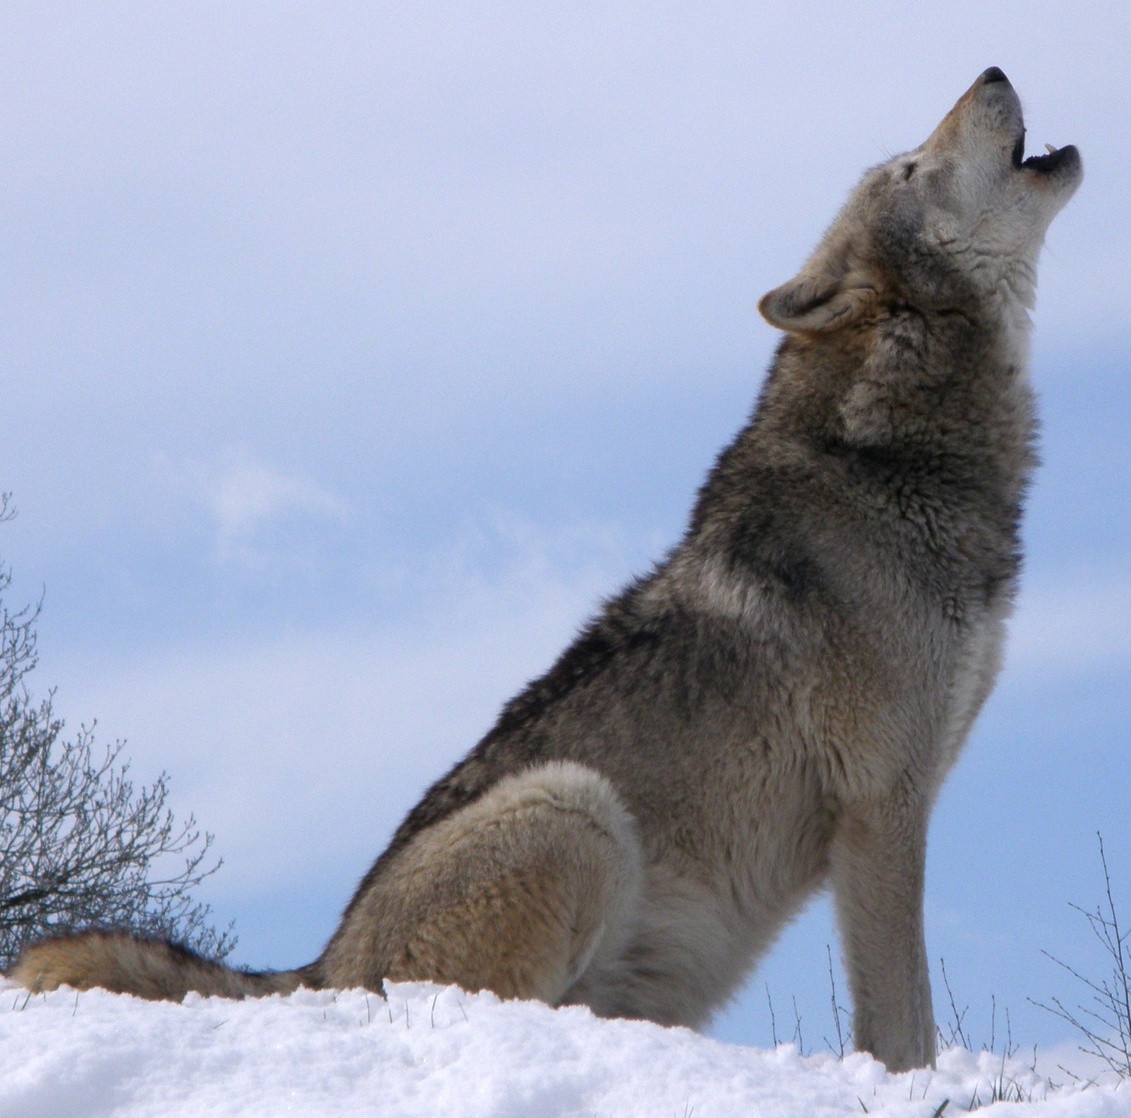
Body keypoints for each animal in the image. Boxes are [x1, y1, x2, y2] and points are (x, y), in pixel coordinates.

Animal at [10, 68, 1080, 1072]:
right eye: (908, 167)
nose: (991, 68)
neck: (890, 458)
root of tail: (317, 971)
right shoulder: (880, 807)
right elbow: (903, 1023)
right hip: (575, 806)